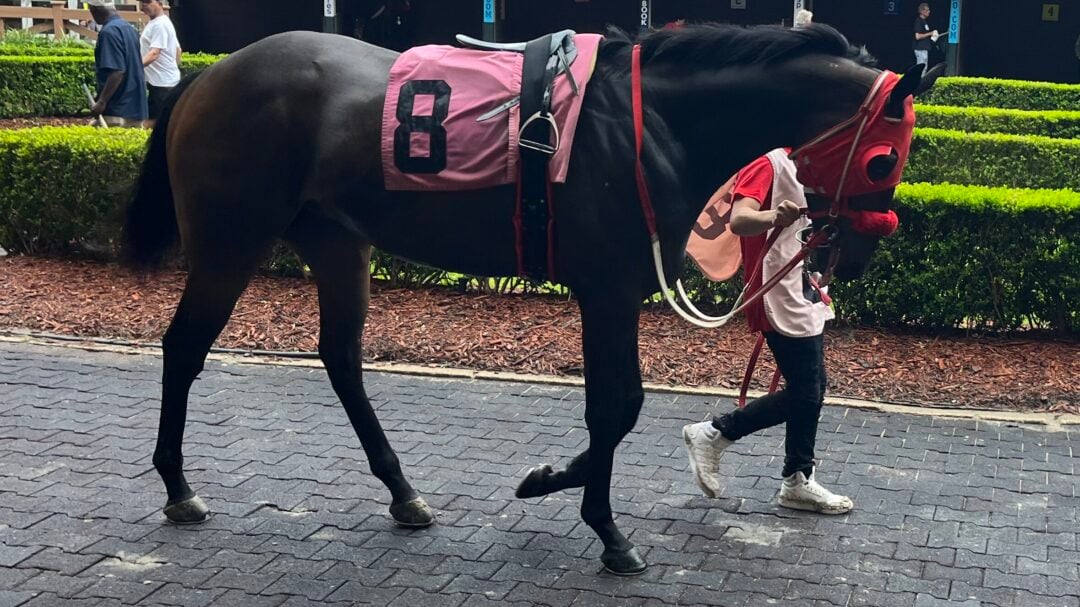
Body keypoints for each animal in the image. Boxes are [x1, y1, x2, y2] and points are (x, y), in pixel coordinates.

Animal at [121, 23, 938, 575]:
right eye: (883, 157)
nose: (856, 255)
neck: (650, 125)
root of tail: (207, 78)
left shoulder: (613, 287)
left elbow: (617, 409)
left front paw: (552, 480)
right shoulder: (607, 287)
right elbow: (617, 407)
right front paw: (602, 526)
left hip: (336, 239)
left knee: (342, 359)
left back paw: (404, 493)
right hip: (231, 240)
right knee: (184, 346)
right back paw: (178, 487)